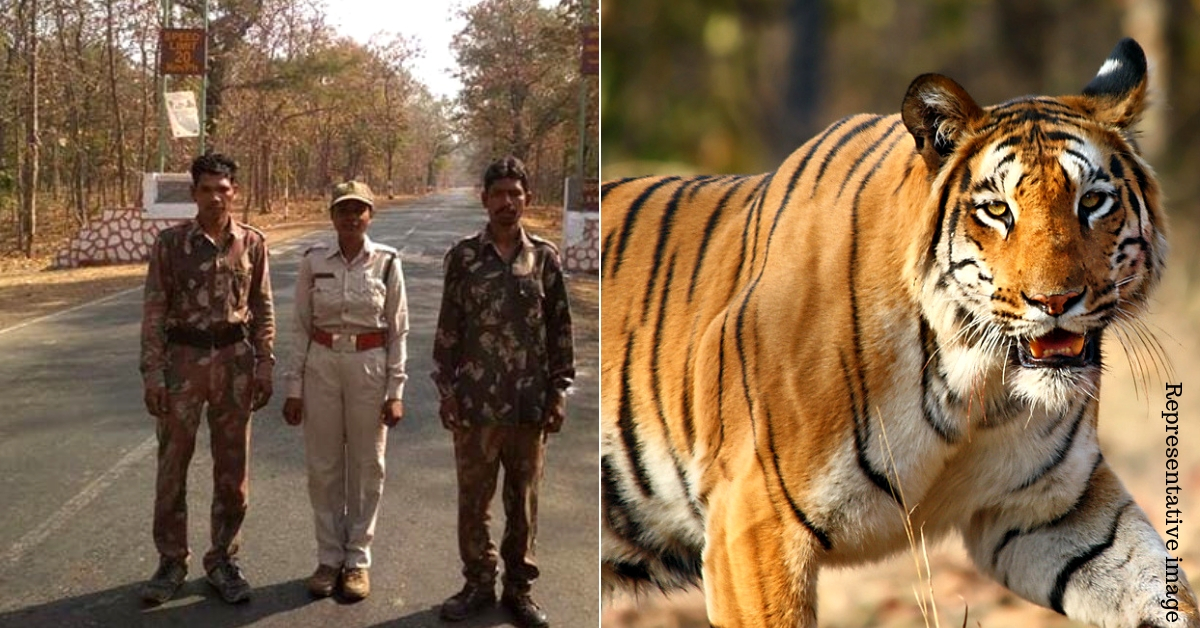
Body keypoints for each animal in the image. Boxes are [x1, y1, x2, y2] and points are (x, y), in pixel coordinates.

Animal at [600, 38, 1199, 627]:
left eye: (1092, 201)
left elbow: (1158, 586)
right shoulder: (753, 521)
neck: (977, 385)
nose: (1054, 301)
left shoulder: (1051, 512)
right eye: (997, 210)